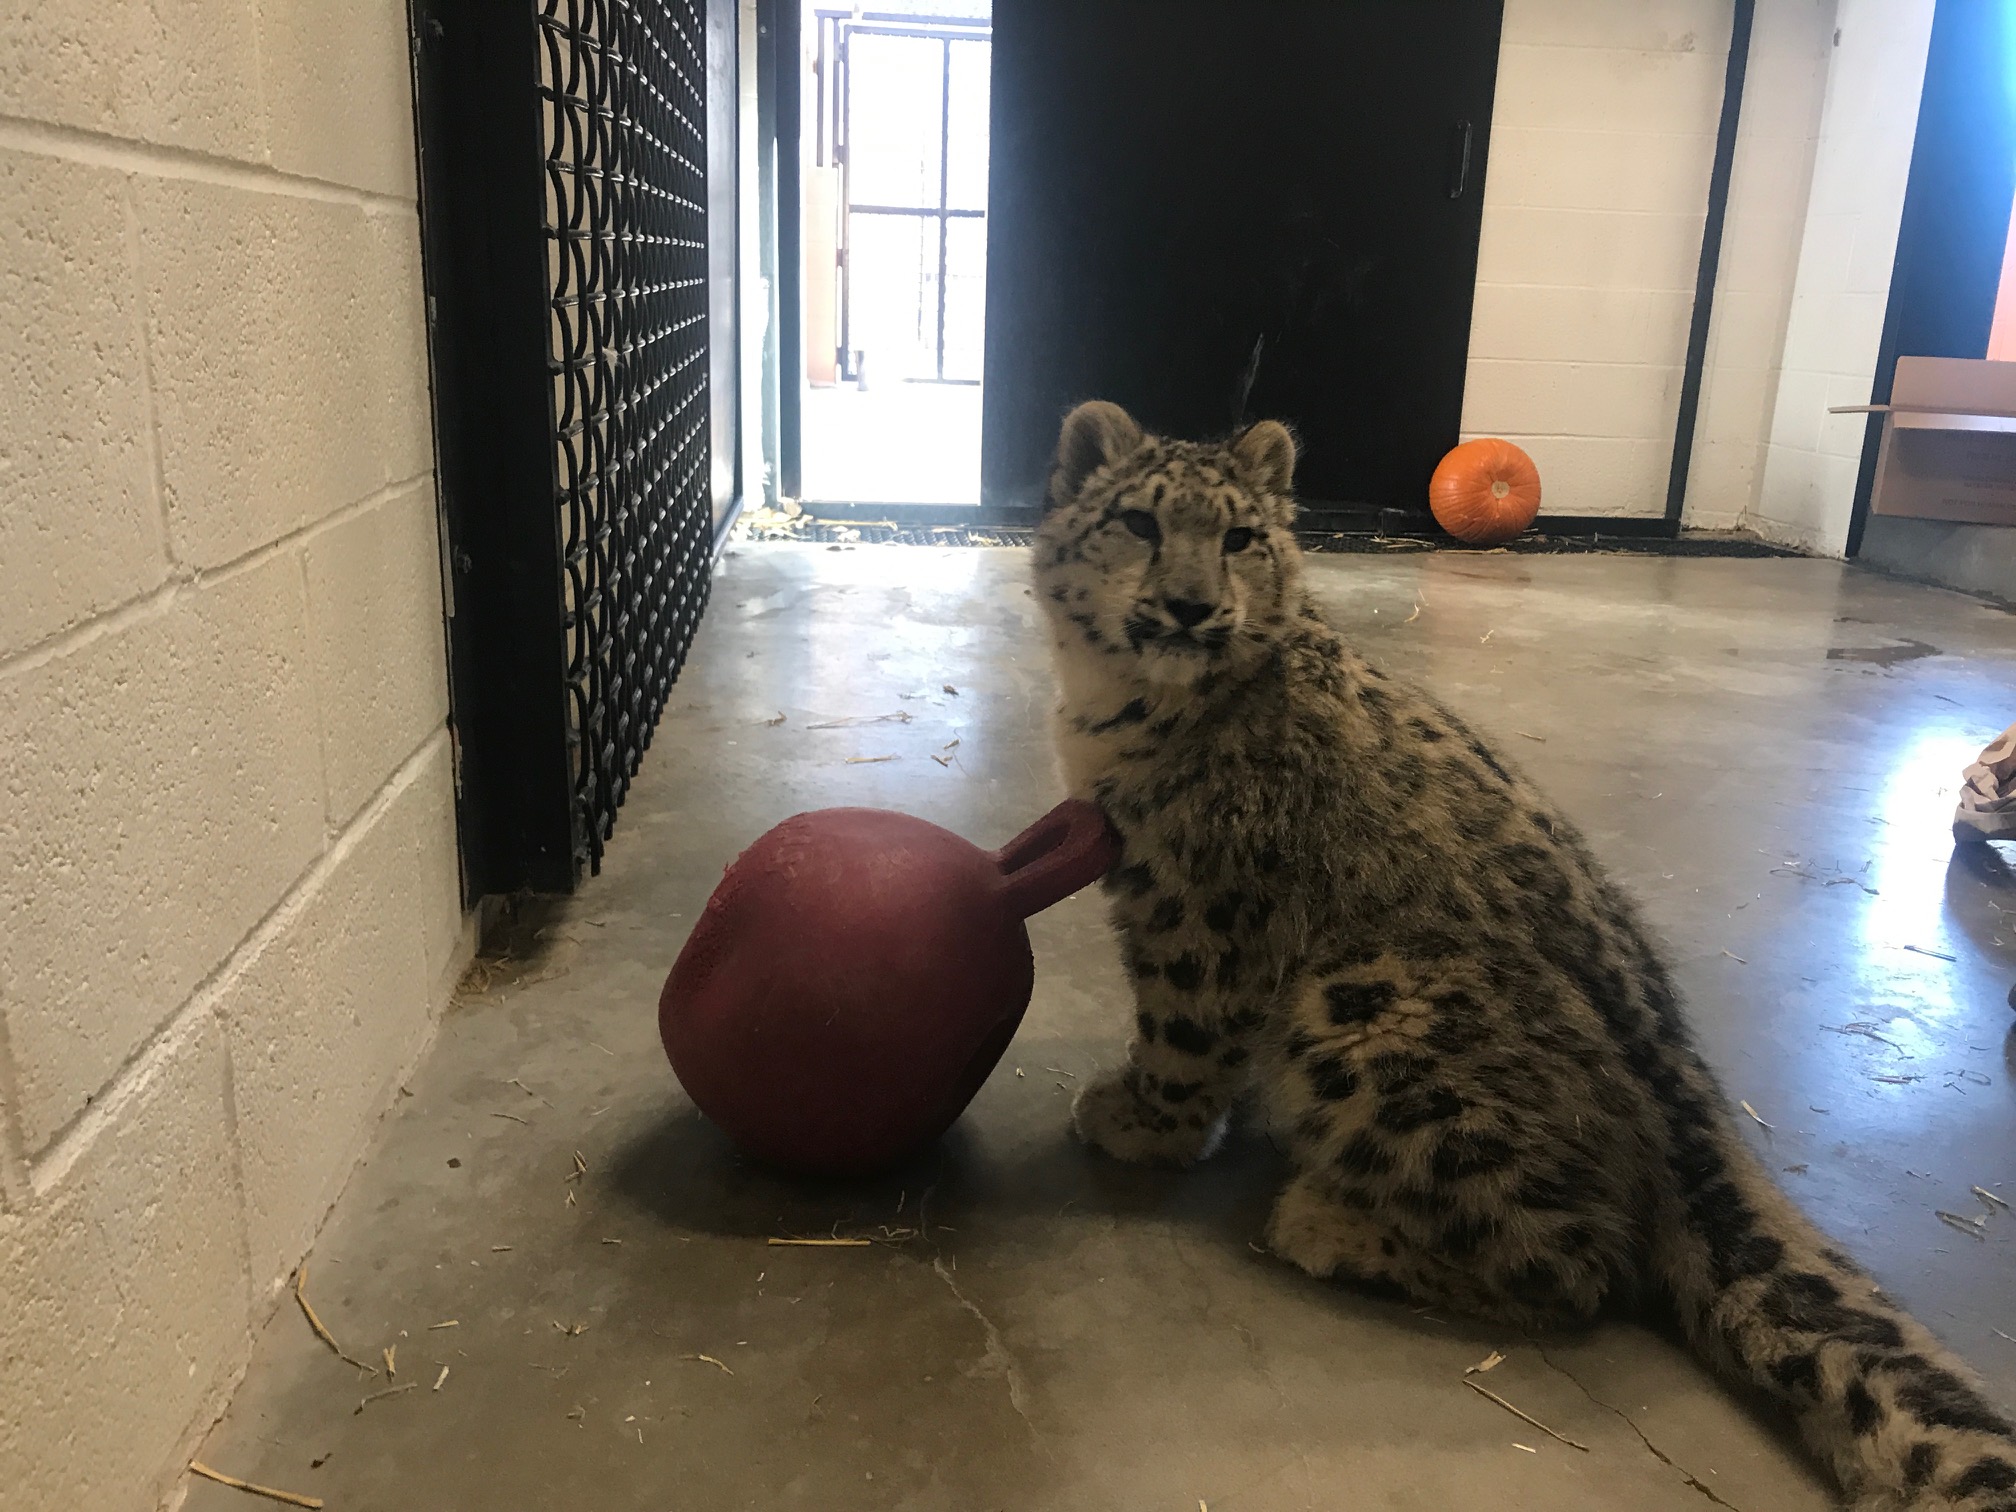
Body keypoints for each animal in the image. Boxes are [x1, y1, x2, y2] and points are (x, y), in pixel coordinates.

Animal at [1033, 398, 2016, 1511]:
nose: (1194, 607)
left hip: (1368, 1001)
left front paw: (1138, 1123)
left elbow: (1184, 1035)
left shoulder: (1202, 906)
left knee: (1575, 1264)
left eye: (1242, 538)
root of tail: (1693, 1107)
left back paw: (1326, 1224)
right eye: (1141, 524)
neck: (1109, 709)